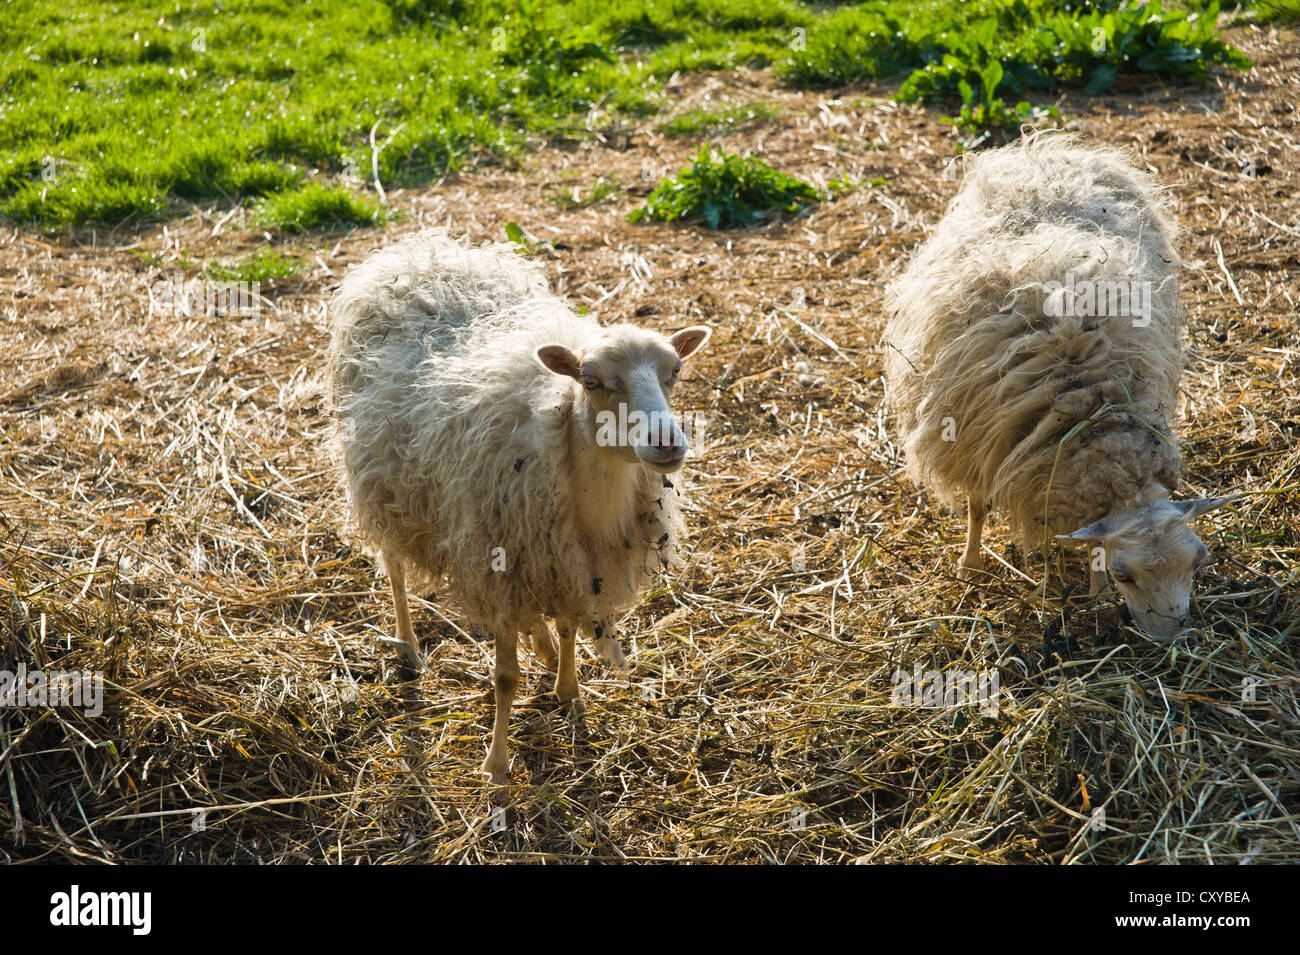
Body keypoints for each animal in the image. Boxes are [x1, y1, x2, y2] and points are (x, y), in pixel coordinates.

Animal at [327, 230, 711, 783]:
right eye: (590, 381)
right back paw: (408, 649)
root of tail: (420, 249)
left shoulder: (570, 563)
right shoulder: (502, 567)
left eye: (675, 371)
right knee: (394, 565)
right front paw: (497, 763)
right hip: (379, 480)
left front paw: (568, 692)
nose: (667, 444)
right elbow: (505, 677)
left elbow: (570, 627)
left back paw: (543, 649)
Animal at [883, 134, 1236, 640]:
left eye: (1198, 561)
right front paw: (969, 565)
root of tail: (1044, 148)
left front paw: (1097, 593)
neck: (1087, 403)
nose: (1169, 639)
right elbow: (976, 506)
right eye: (1127, 574)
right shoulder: (976, 439)